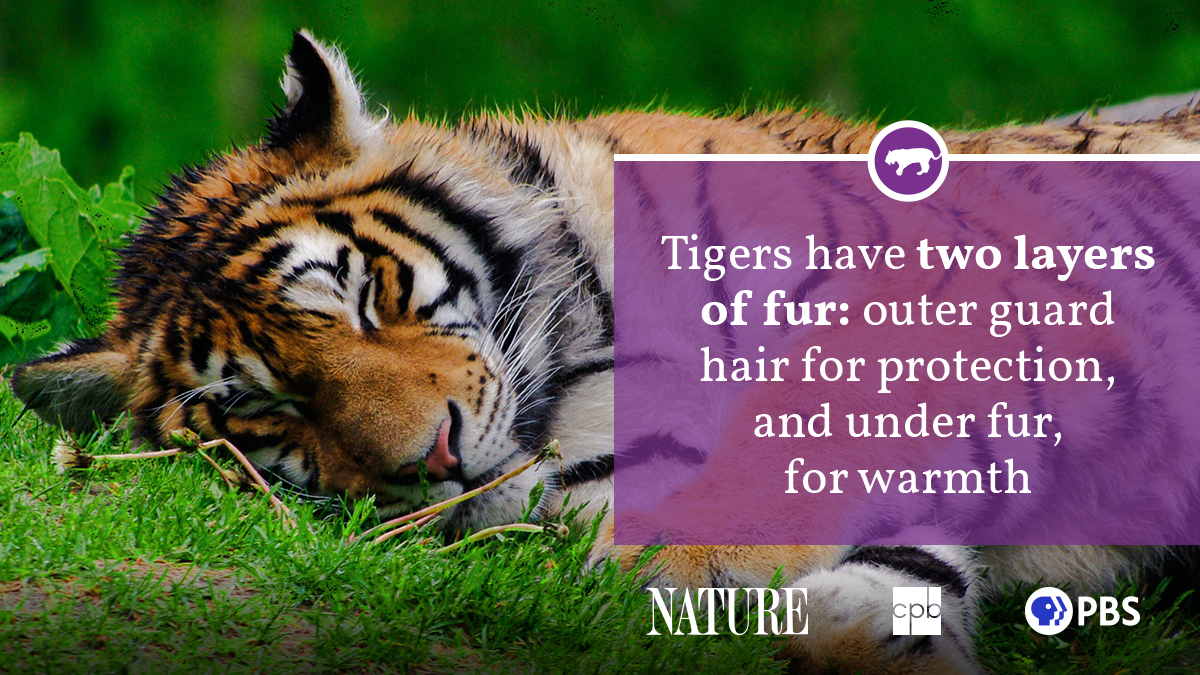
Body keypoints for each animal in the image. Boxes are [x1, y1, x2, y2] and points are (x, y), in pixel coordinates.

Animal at [10, 31, 1200, 674]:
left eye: (364, 301)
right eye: (272, 412)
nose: (431, 460)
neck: (579, 351)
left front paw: (701, 566)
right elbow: (898, 559)